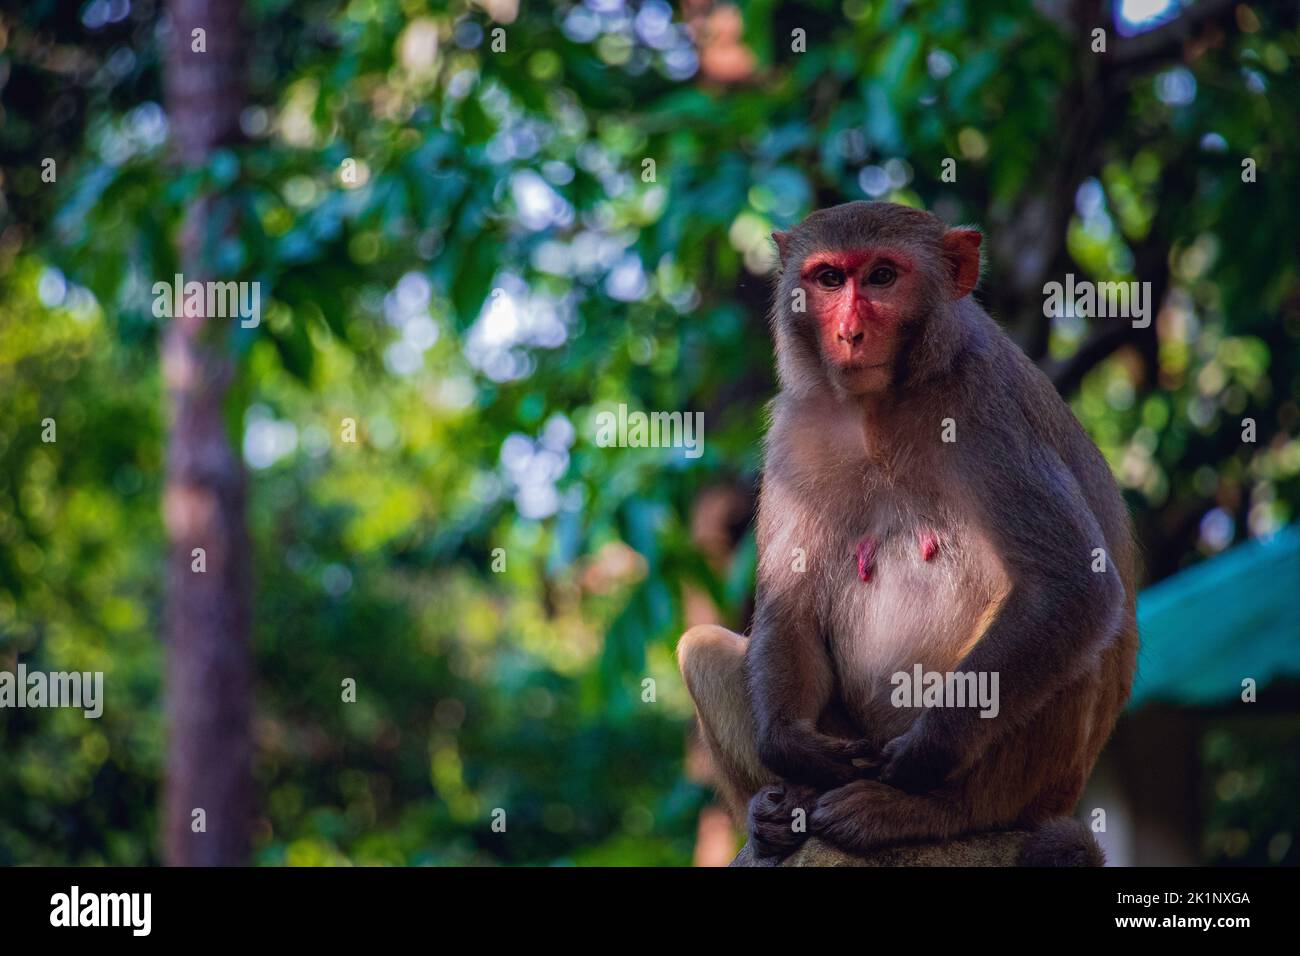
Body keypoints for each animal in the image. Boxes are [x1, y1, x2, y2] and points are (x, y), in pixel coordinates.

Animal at [678, 201, 1137, 865]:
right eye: (828, 279)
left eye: (883, 277)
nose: (849, 332)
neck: (882, 404)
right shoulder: (795, 428)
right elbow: (790, 605)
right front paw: (792, 746)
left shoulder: (982, 408)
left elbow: (1074, 582)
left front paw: (926, 753)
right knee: (701, 648)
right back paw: (777, 812)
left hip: (1032, 786)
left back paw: (926, 811)